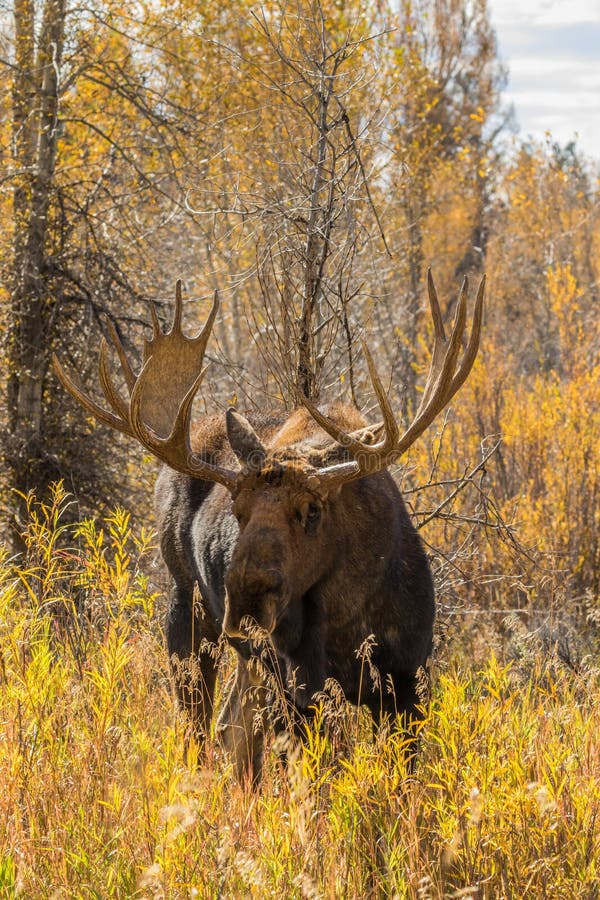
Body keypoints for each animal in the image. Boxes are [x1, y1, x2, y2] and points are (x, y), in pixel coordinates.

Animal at [53, 271, 484, 782]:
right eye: (238, 511)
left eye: (312, 511)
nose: (246, 597)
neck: (349, 614)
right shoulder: (300, 689)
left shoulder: (408, 681)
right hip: (190, 613)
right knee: (201, 729)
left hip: (248, 658)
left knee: (232, 727)